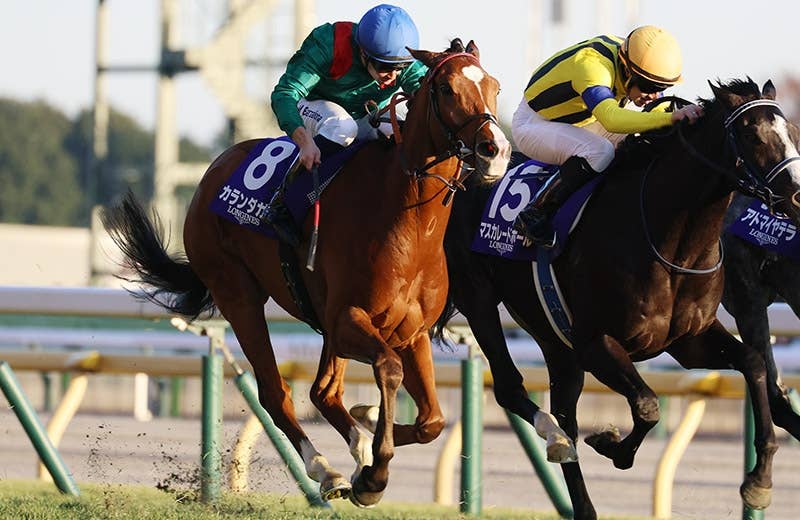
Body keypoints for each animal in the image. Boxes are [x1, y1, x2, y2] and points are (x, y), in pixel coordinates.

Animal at [101, 39, 511, 507]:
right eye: (445, 88)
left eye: (495, 86)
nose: (495, 150)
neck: (406, 222)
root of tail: (212, 173)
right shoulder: (348, 318)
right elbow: (388, 369)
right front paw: (373, 473)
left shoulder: (410, 331)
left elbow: (432, 421)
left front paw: (370, 424)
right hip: (238, 295)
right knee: (275, 392)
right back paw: (326, 469)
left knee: (324, 391)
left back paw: (354, 447)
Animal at [432, 78, 800, 519]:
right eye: (751, 134)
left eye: (791, 132)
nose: (797, 195)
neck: (671, 242)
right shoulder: (595, 342)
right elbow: (647, 405)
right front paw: (612, 445)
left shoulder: (688, 341)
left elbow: (753, 363)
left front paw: (759, 481)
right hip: (480, 298)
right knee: (513, 391)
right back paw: (556, 440)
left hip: (555, 339)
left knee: (565, 413)